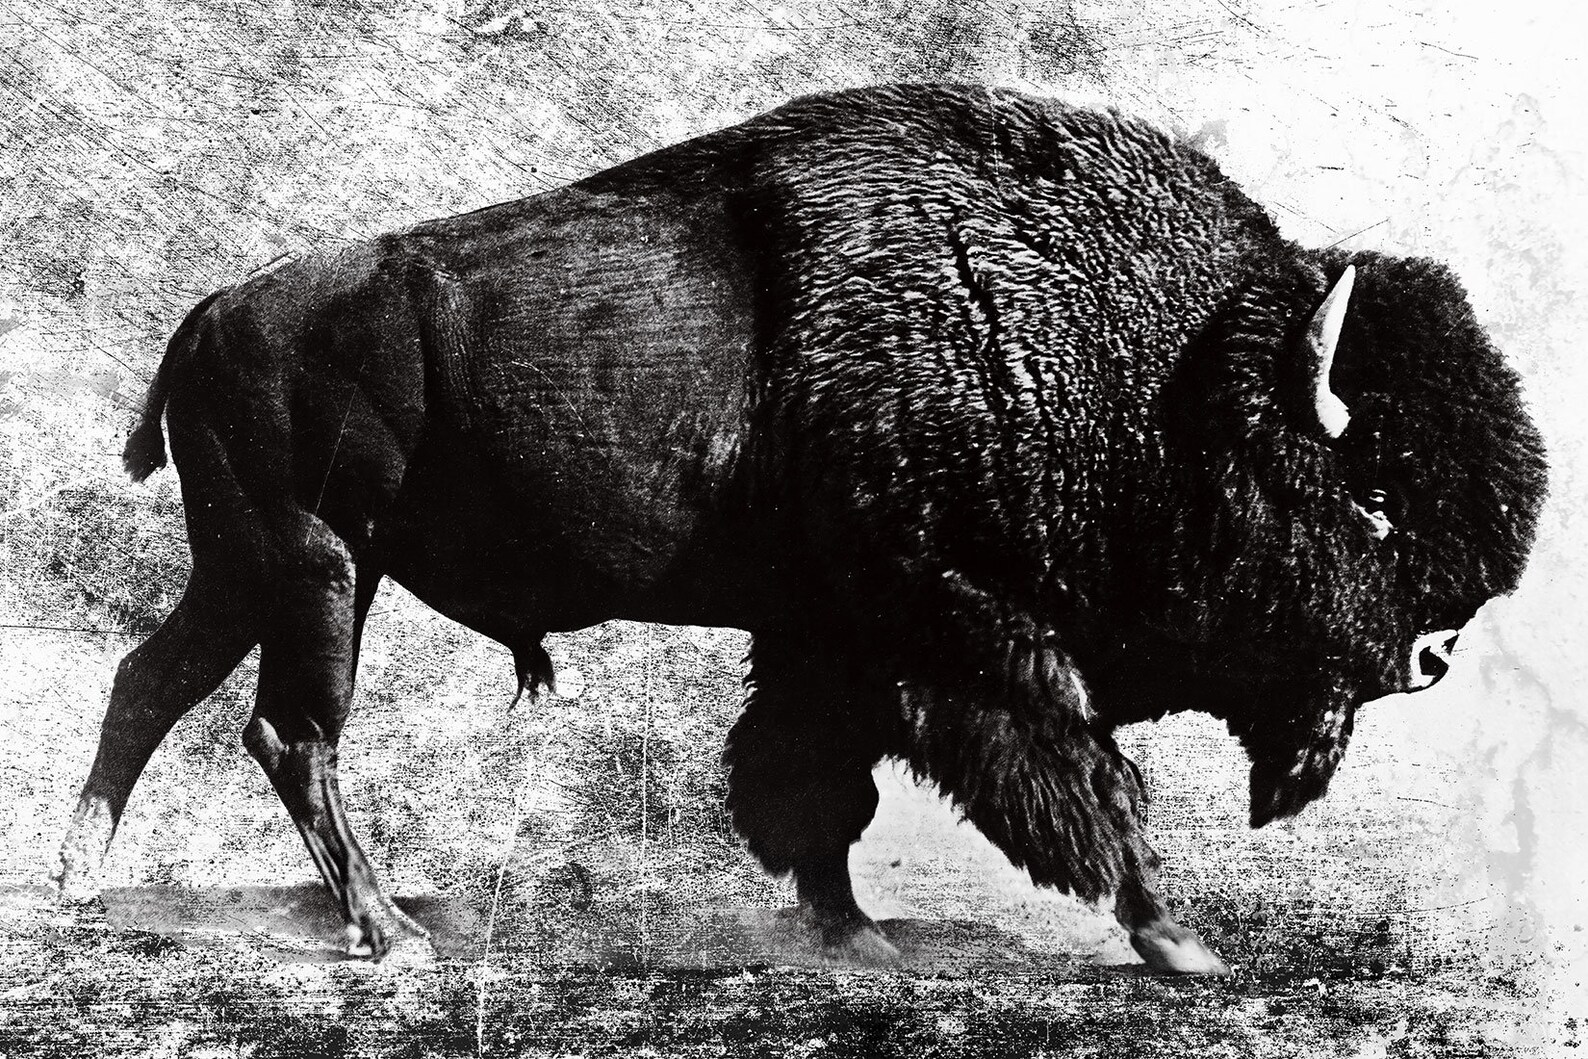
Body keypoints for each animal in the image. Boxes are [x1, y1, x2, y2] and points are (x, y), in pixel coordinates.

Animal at [56, 84, 1547, 973]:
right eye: (1369, 498)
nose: (1433, 654)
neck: (1164, 378)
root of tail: (215, 310)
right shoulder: (966, 628)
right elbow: (1085, 776)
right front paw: (1178, 942)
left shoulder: (831, 639)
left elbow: (814, 782)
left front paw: (848, 931)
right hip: (316, 568)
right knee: (289, 732)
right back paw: (390, 932)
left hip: (258, 569)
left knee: (151, 681)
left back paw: (79, 877)